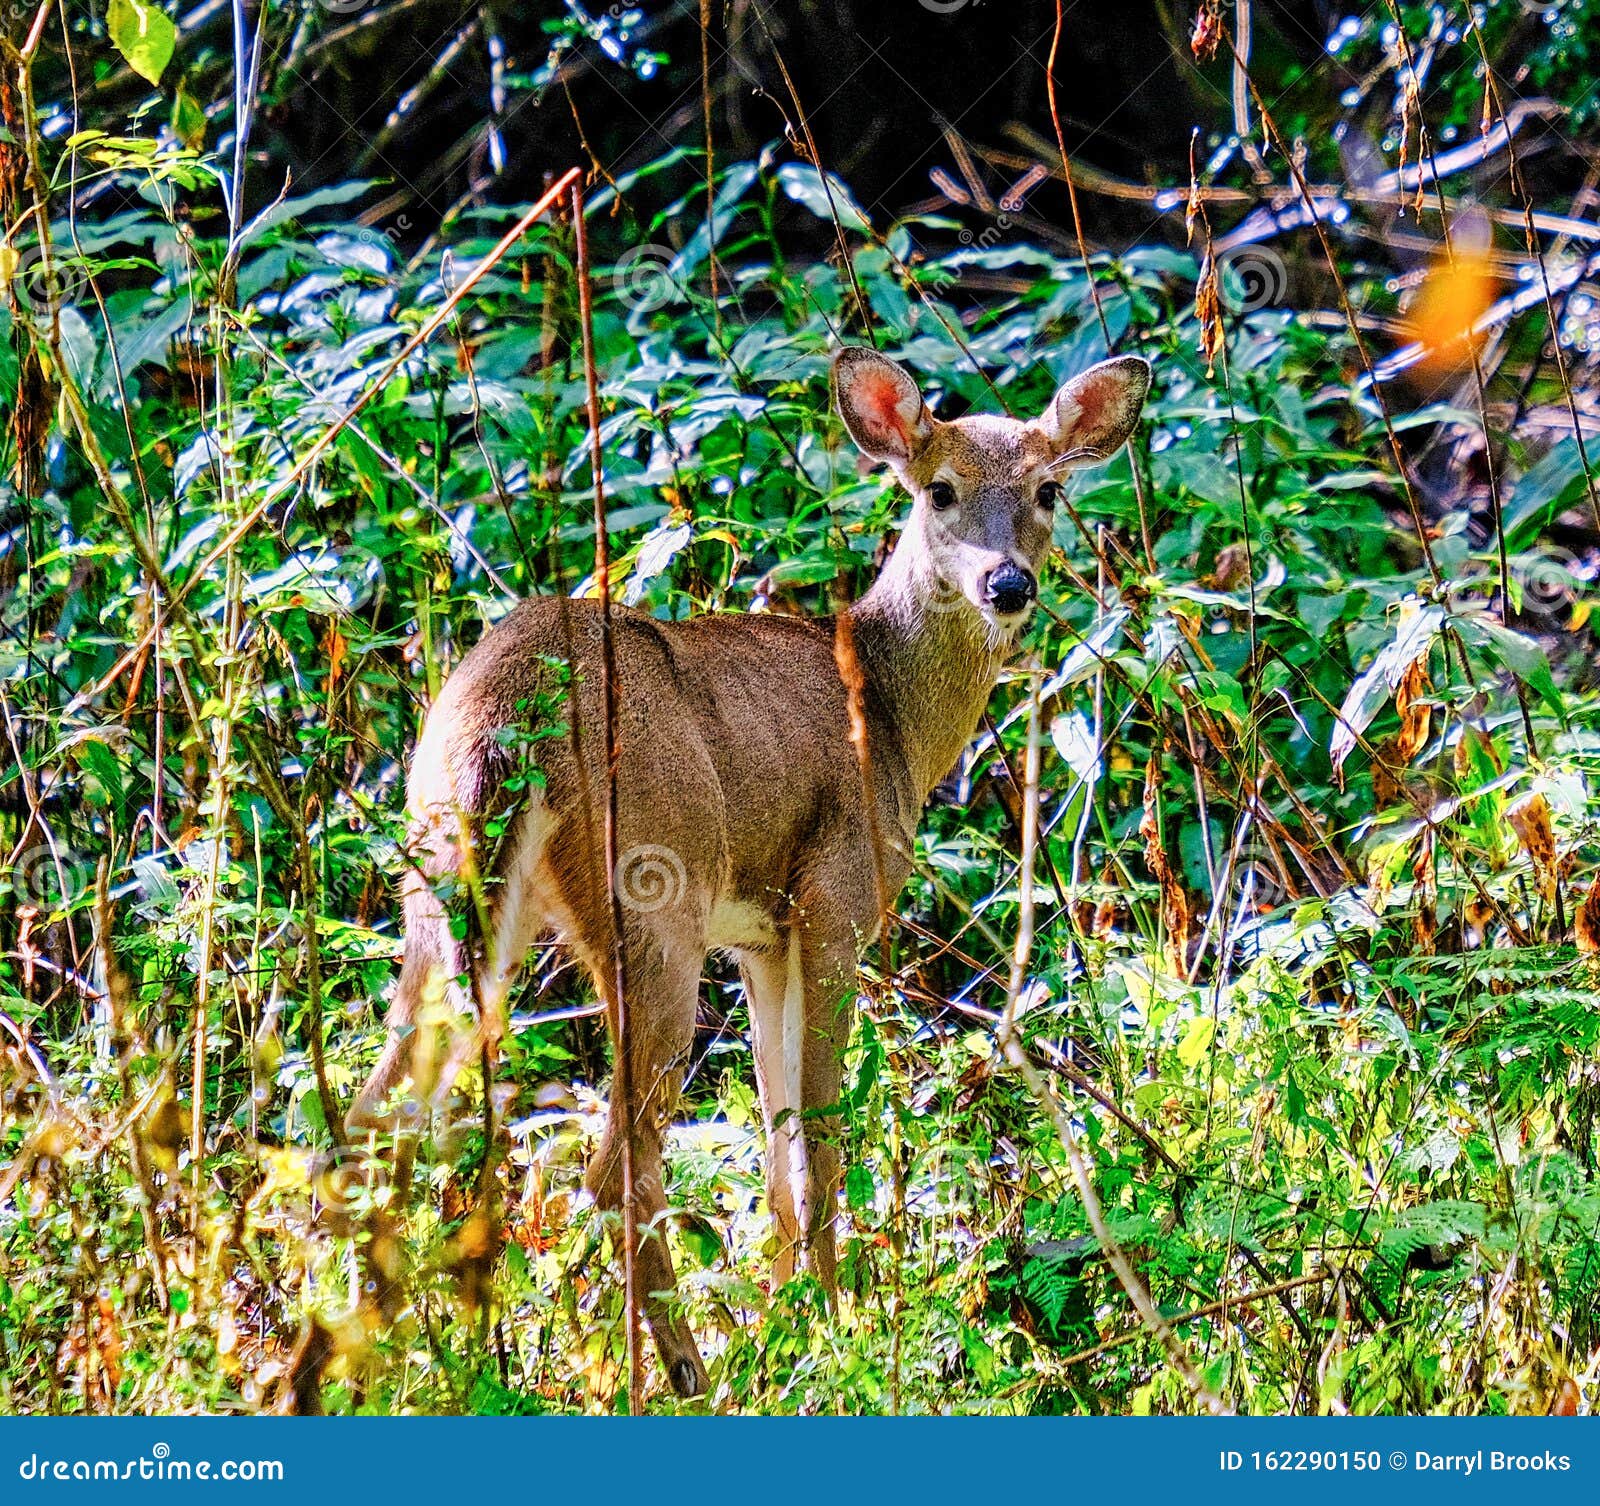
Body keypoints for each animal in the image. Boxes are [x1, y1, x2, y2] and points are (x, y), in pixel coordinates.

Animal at [349, 344, 1151, 1397]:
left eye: (1049, 488)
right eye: (937, 488)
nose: (1007, 584)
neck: (891, 717)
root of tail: (504, 719)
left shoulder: (762, 936)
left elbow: (776, 1145)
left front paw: (785, 1320)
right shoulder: (835, 899)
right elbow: (823, 1135)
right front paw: (836, 1327)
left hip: (440, 884)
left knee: (371, 1119)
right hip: (653, 895)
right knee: (614, 1160)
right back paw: (676, 1370)